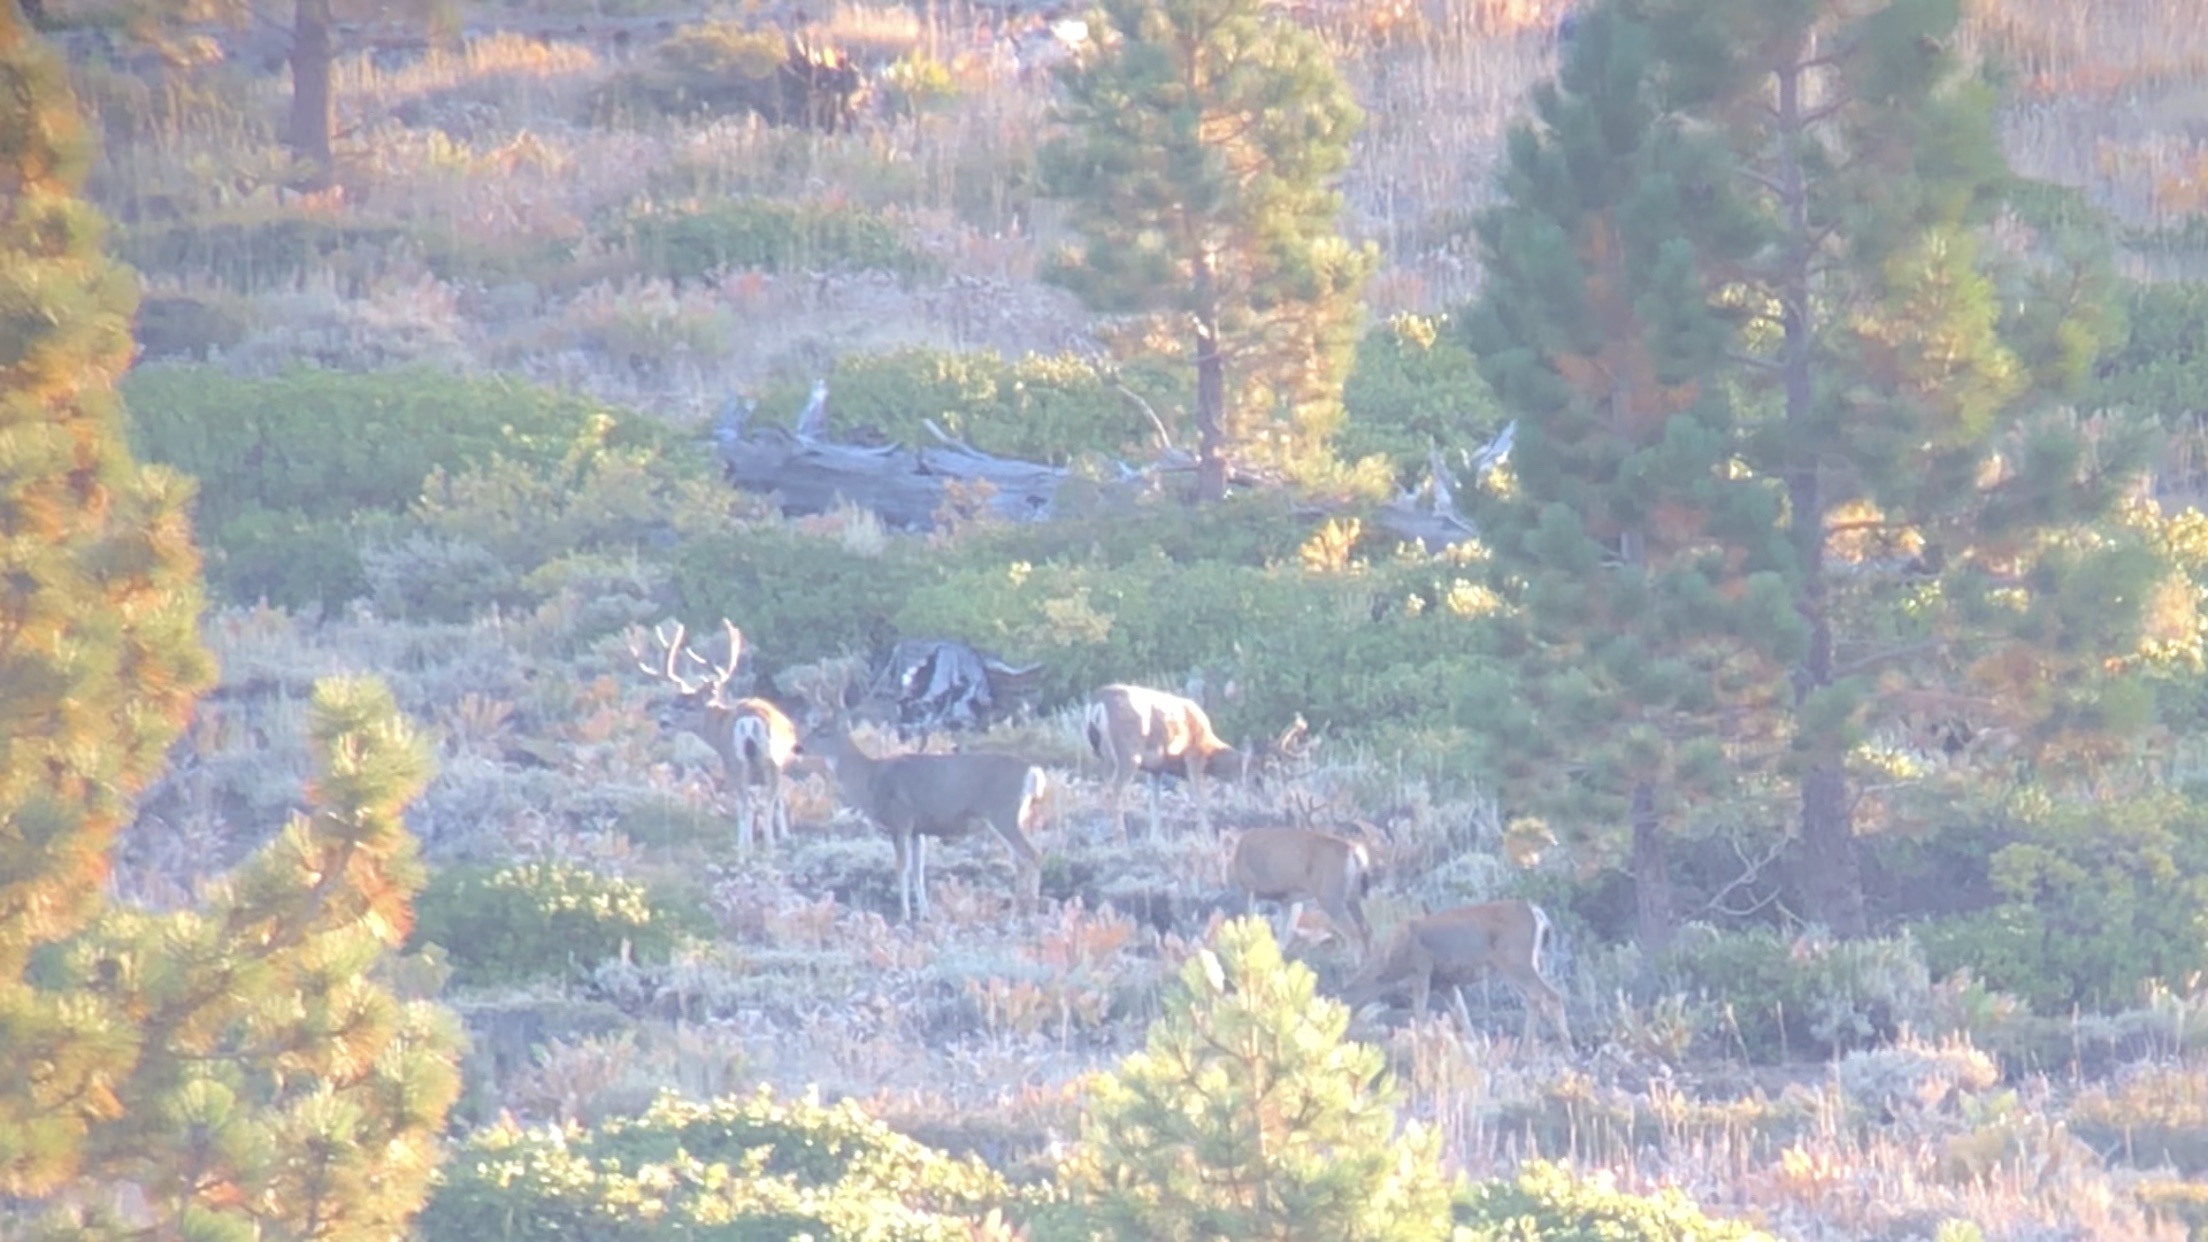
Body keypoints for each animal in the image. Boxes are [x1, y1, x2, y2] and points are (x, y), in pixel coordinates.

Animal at [632, 619, 798, 853]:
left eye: (688, 706)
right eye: (674, 701)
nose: (663, 723)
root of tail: (750, 721)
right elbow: (776, 801)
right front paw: (784, 837)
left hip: (744, 763)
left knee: (751, 804)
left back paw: (751, 849)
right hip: (756, 763)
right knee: (757, 803)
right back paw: (758, 848)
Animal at [796, 668, 1049, 923]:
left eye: (822, 732)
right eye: (812, 727)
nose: (797, 747)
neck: (869, 779)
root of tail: (1033, 770)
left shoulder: (900, 820)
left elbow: (901, 868)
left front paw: (904, 915)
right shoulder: (919, 829)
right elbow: (918, 870)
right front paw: (924, 914)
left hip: (1003, 813)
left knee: (1033, 856)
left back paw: (1028, 914)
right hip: (1018, 816)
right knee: (1021, 861)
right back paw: (1017, 912)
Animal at [1085, 683, 1243, 839]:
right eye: (1240, 770)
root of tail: (1099, 702)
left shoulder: (1156, 769)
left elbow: (1155, 804)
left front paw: (1155, 839)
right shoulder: (1194, 758)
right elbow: (1201, 799)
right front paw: (1207, 836)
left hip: (1106, 759)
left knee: (1105, 790)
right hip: (1129, 756)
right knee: (1115, 792)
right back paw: (1121, 838)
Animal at [1228, 826, 1373, 959]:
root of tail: (1353, 851)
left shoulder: (1252, 890)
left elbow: (1253, 928)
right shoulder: (1285, 900)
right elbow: (1282, 939)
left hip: (1330, 895)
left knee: (1353, 933)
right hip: (1352, 896)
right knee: (1365, 928)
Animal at [1340, 901, 1572, 1049]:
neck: (1387, 968)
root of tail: (1538, 914)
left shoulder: (1421, 970)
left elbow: (1420, 1015)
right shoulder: (1446, 985)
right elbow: (1463, 1017)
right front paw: (1476, 1051)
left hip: (1516, 960)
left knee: (1550, 995)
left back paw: (1564, 1050)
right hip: (1523, 964)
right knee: (1535, 998)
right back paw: (1527, 1051)